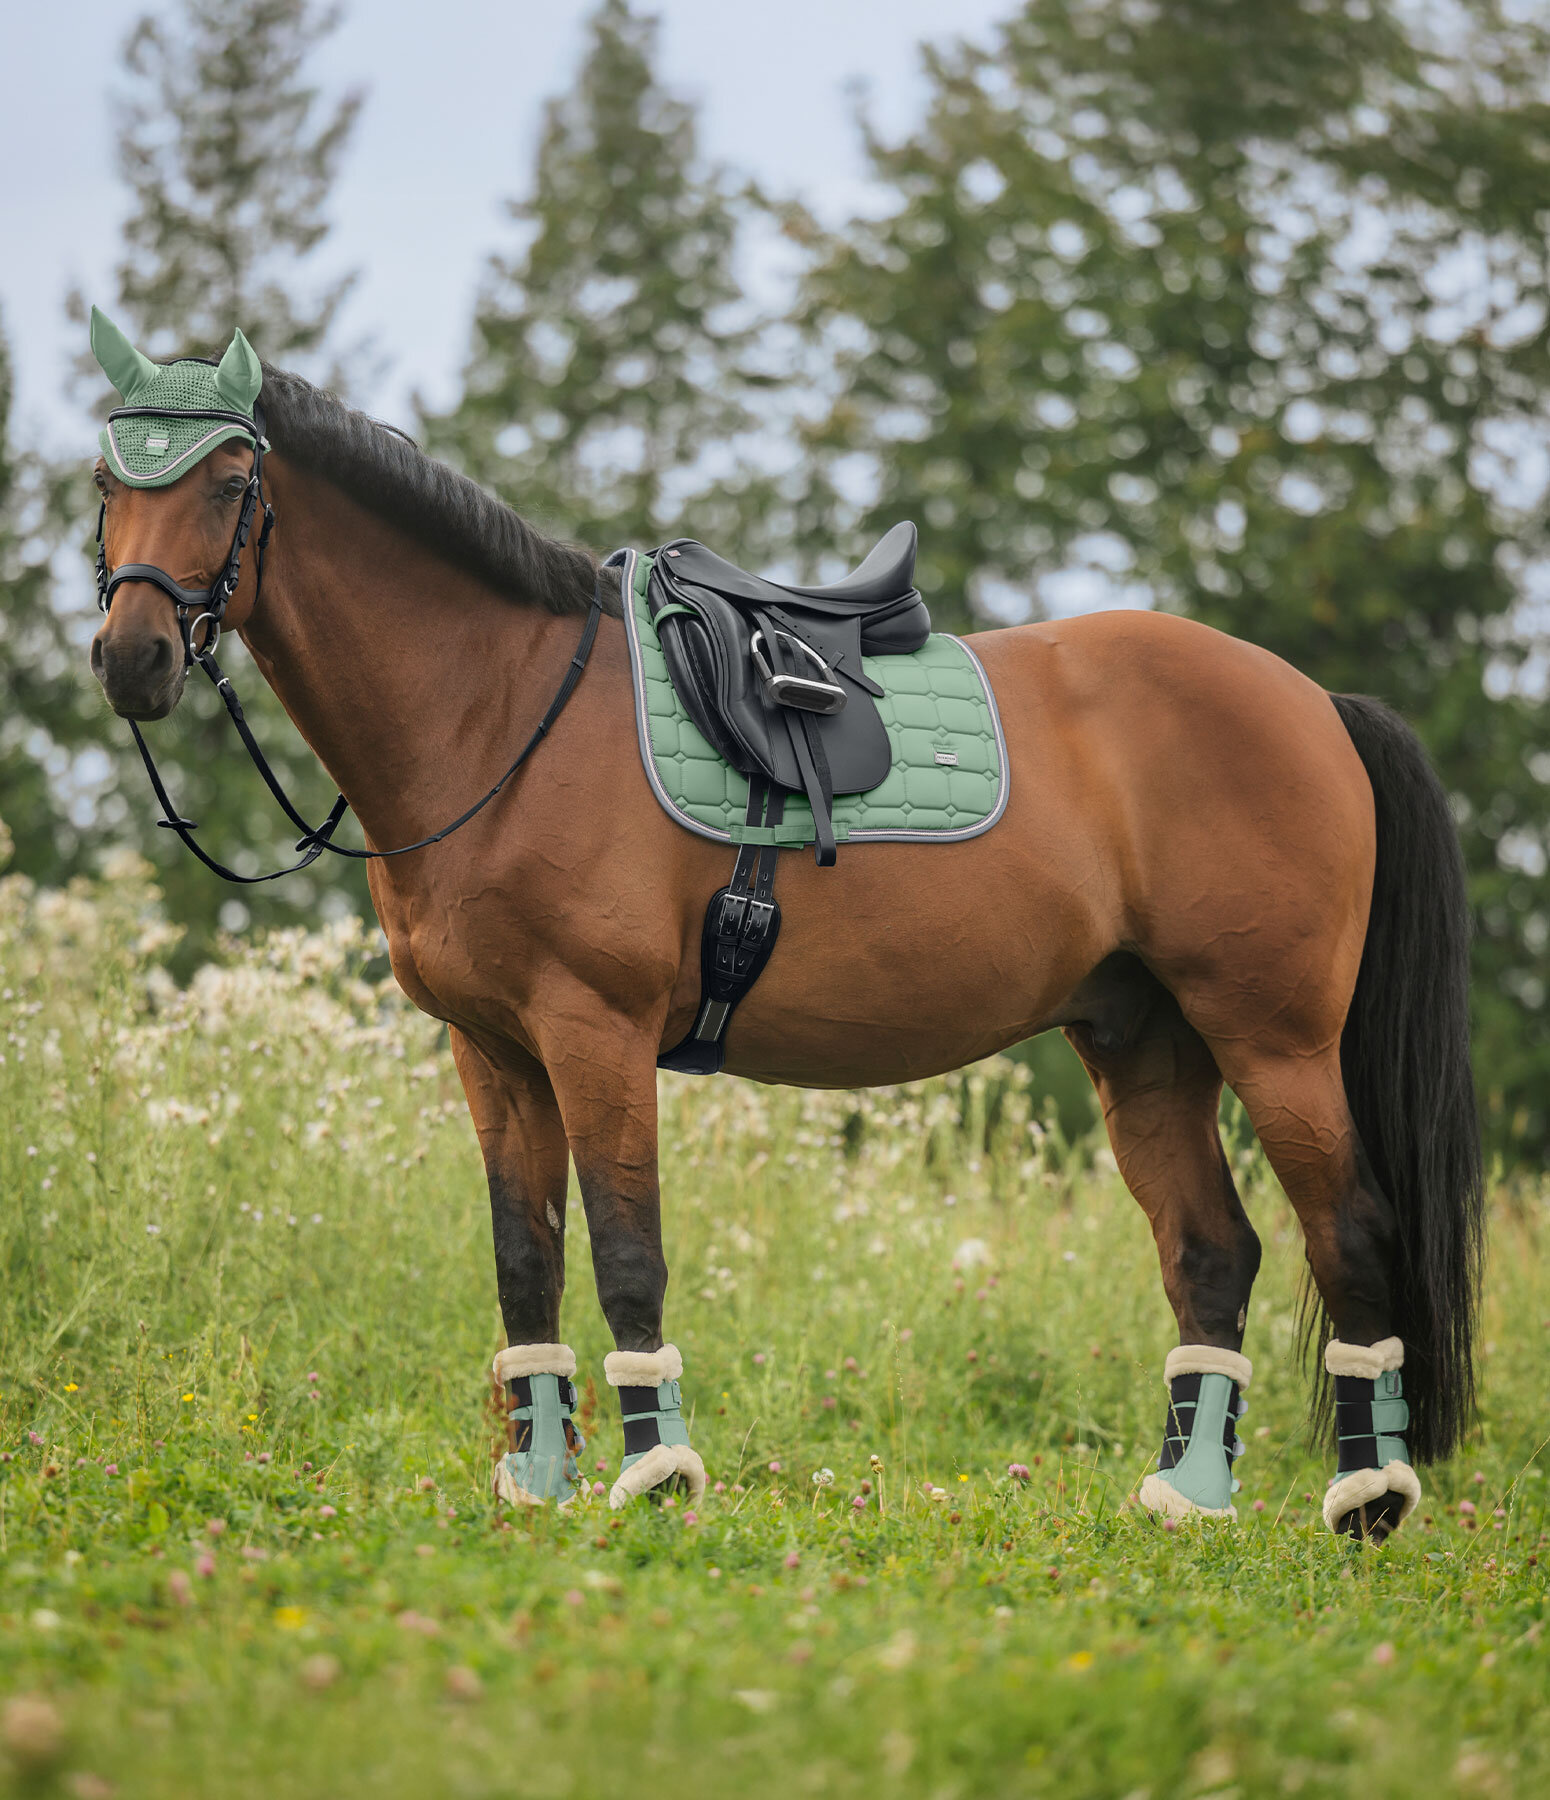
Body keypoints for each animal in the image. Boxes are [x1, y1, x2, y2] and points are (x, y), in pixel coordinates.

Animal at [87, 337, 1482, 1543]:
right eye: (108, 482)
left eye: (229, 482)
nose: (131, 659)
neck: (502, 713)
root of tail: (1312, 701)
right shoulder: (492, 1052)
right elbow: (524, 1260)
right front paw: (537, 1482)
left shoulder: (593, 1034)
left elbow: (627, 1253)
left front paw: (655, 1476)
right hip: (1143, 1041)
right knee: (1210, 1251)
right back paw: (1187, 1496)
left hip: (1271, 1037)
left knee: (1349, 1231)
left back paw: (1369, 1500)